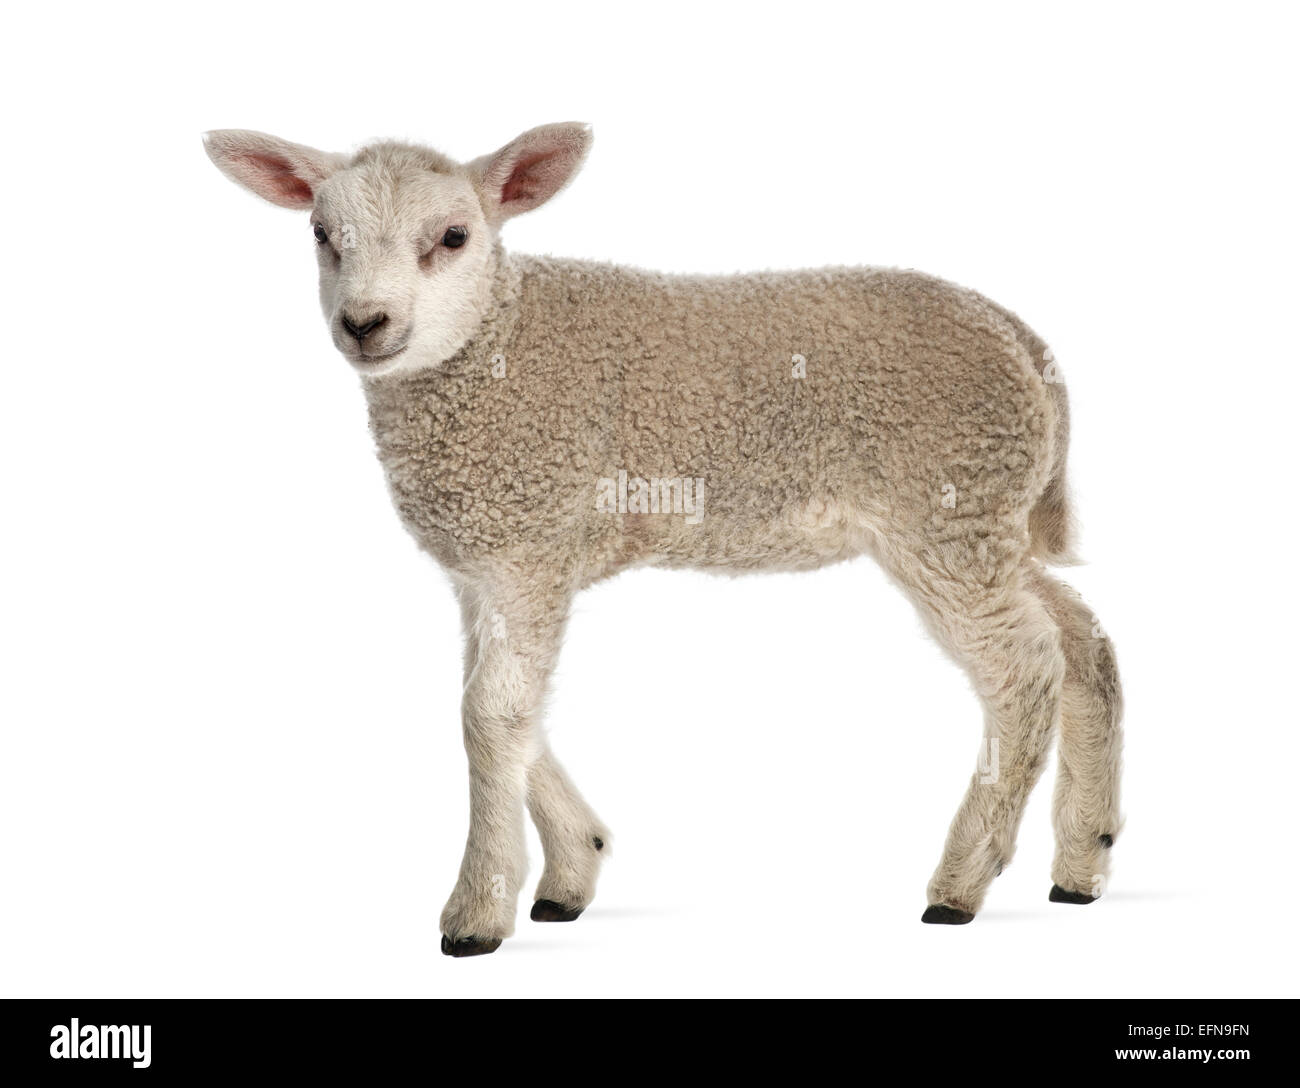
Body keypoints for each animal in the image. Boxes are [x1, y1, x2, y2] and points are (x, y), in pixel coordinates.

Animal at [203, 123, 1123, 957]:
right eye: (322, 235)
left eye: (454, 237)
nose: (365, 323)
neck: (497, 345)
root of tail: (1025, 344)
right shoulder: (492, 559)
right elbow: (502, 709)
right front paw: (574, 867)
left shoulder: (531, 539)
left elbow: (488, 718)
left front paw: (477, 913)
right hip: (990, 516)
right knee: (1081, 637)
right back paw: (1084, 858)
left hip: (945, 508)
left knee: (1025, 668)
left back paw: (961, 882)